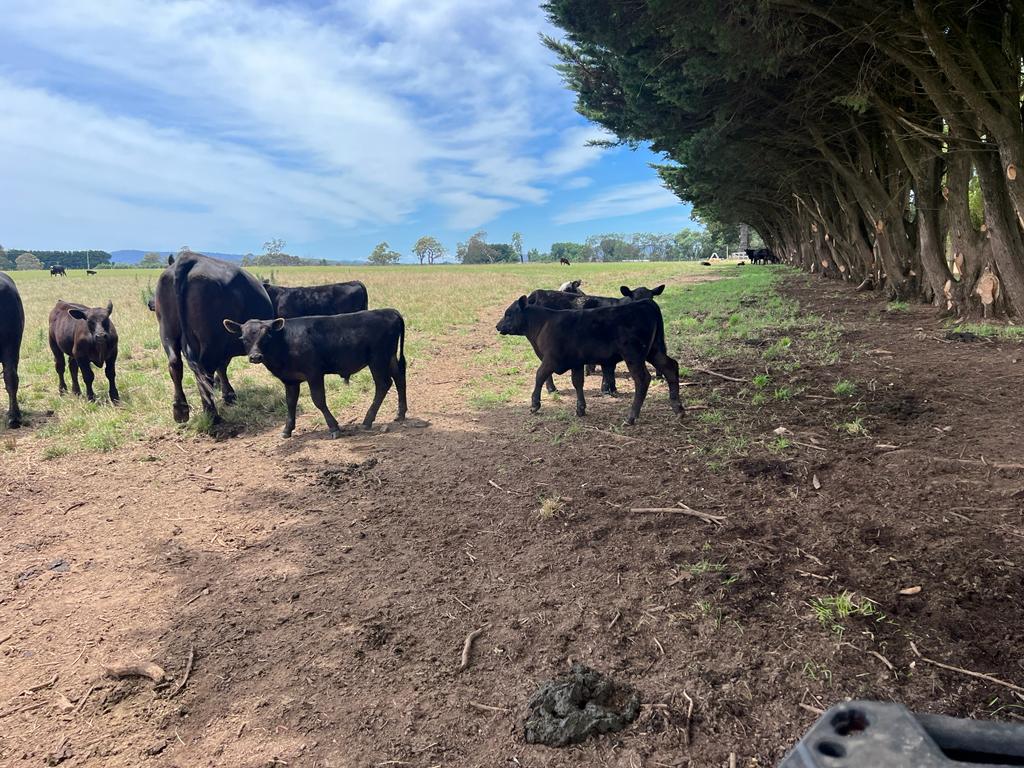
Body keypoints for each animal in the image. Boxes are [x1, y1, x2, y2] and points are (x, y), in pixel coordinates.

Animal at [163, 252, 274, 423]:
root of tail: (190, 257)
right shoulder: (225, 345)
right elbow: (222, 367)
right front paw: (228, 395)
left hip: (168, 333)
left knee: (175, 365)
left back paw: (180, 410)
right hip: (211, 342)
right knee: (205, 371)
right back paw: (212, 414)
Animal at [223, 309, 407, 438]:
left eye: (267, 336)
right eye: (243, 338)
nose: (255, 357)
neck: (285, 342)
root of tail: (390, 311)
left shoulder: (314, 373)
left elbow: (318, 400)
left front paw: (334, 428)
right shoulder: (290, 380)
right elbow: (290, 402)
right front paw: (287, 429)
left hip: (378, 359)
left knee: (383, 384)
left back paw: (368, 420)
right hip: (390, 357)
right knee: (399, 378)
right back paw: (400, 413)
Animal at [495, 297, 682, 425]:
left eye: (508, 313)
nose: (497, 326)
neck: (544, 324)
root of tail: (644, 303)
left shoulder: (551, 360)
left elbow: (539, 376)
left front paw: (535, 404)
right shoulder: (577, 362)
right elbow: (577, 382)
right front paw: (580, 408)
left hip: (633, 355)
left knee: (643, 379)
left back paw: (631, 416)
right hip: (654, 350)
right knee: (670, 367)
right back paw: (678, 408)